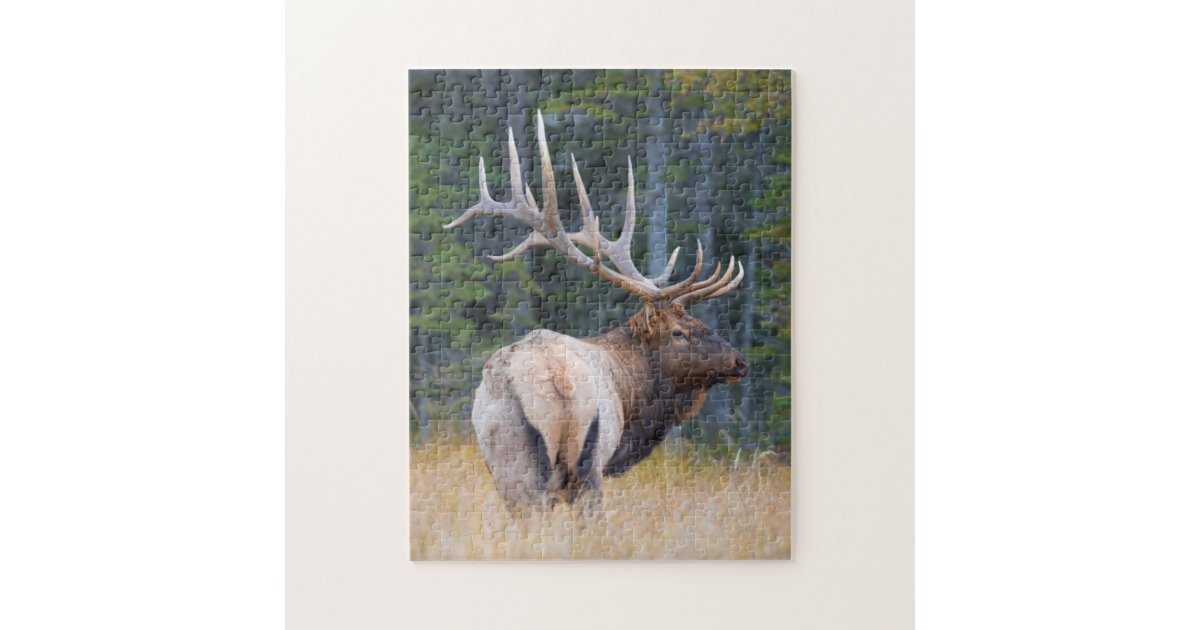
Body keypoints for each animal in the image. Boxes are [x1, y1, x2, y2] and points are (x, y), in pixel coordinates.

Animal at [443, 111, 748, 515]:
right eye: (679, 332)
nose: (739, 361)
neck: (632, 395)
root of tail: (556, 380)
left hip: (511, 465)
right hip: (583, 463)